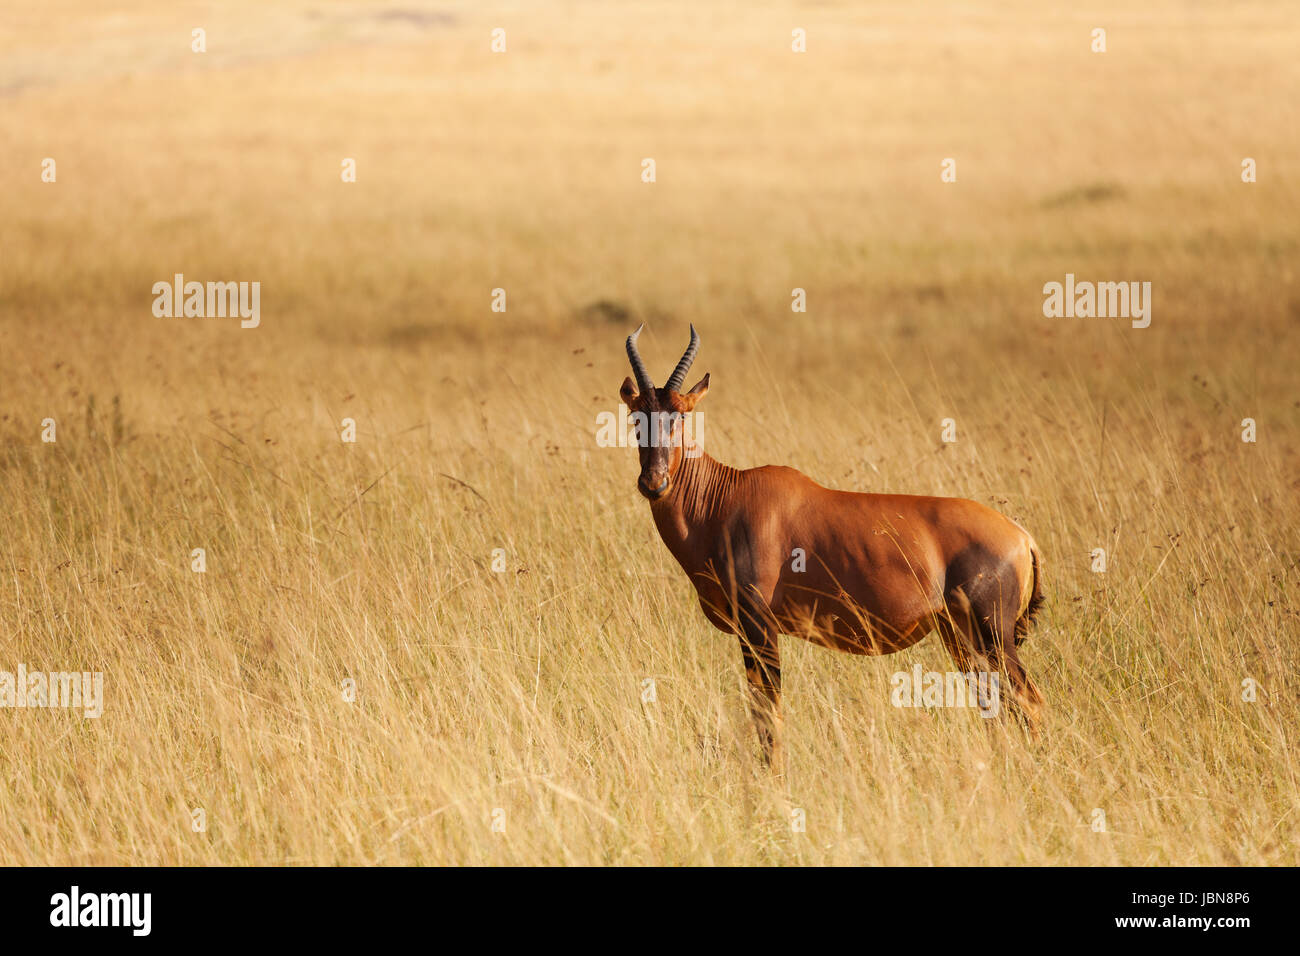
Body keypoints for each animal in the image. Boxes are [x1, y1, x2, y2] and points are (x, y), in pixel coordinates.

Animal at [619, 325, 1045, 772]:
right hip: (961, 638)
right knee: (995, 707)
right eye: (635, 415)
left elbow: (768, 712)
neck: (727, 495)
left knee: (1029, 702)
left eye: (681, 414)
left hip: (994, 635)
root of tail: (1022, 537)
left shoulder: (759, 625)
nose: (654, 483)